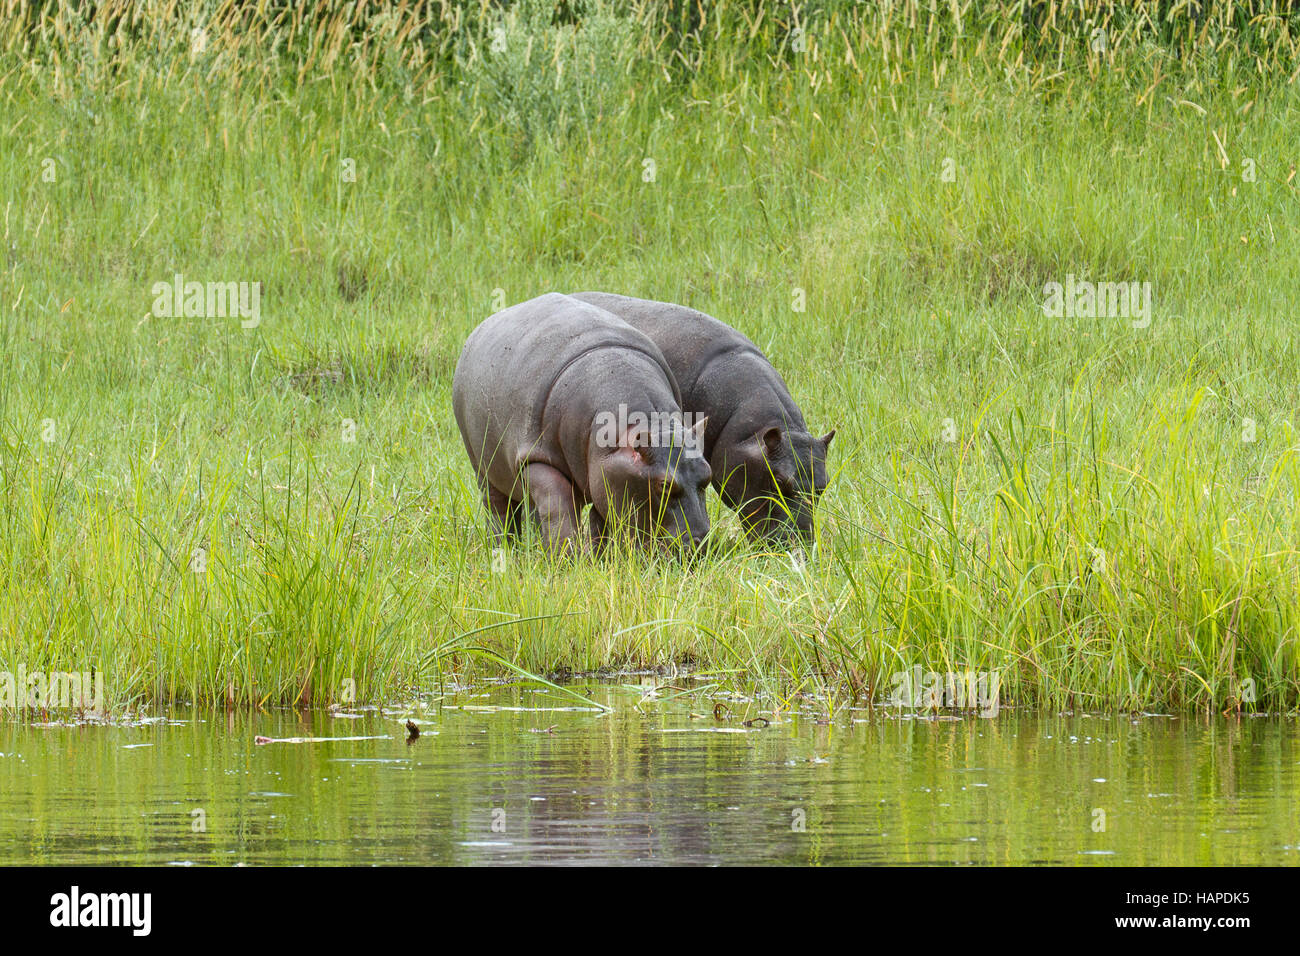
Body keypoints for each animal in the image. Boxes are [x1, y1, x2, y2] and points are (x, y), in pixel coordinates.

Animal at [452, 293, 712, 553]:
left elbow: (600, 519)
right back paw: (505, 551)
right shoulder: (537, 459)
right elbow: (558, 508)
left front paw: (600, 556)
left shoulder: (605, 471)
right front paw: (566, 557)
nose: (700, 543)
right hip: (483, 466)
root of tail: (481, 328)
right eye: (664, 485)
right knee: (499, 509)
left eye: (708, 475)